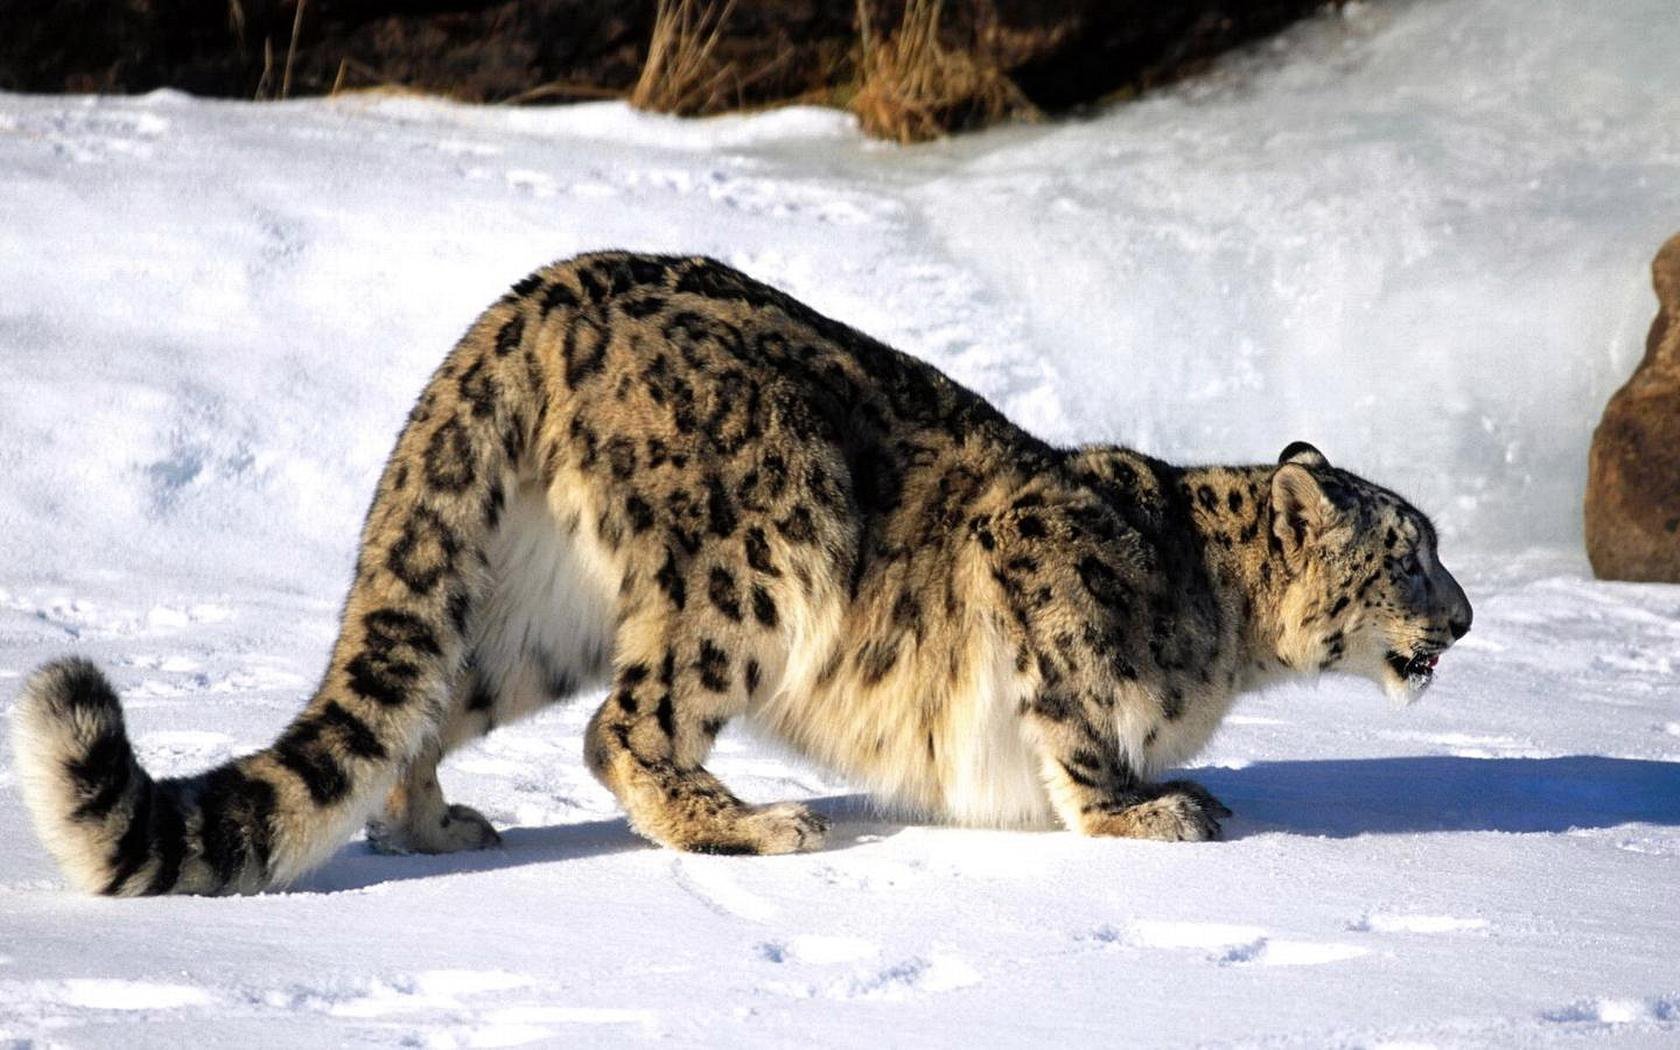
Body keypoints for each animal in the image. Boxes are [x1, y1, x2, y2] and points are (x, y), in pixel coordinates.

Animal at [11, 251, 1473, 896]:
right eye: (1410, 550)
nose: (1466, 616)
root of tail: (529, 298)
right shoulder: (1038, 562)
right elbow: (1075, 723)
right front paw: (1150, 812)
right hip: (769, 540)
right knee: (626, 727)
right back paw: (759, 825)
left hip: (528, 611)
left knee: (428, 700)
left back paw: (432, 825)